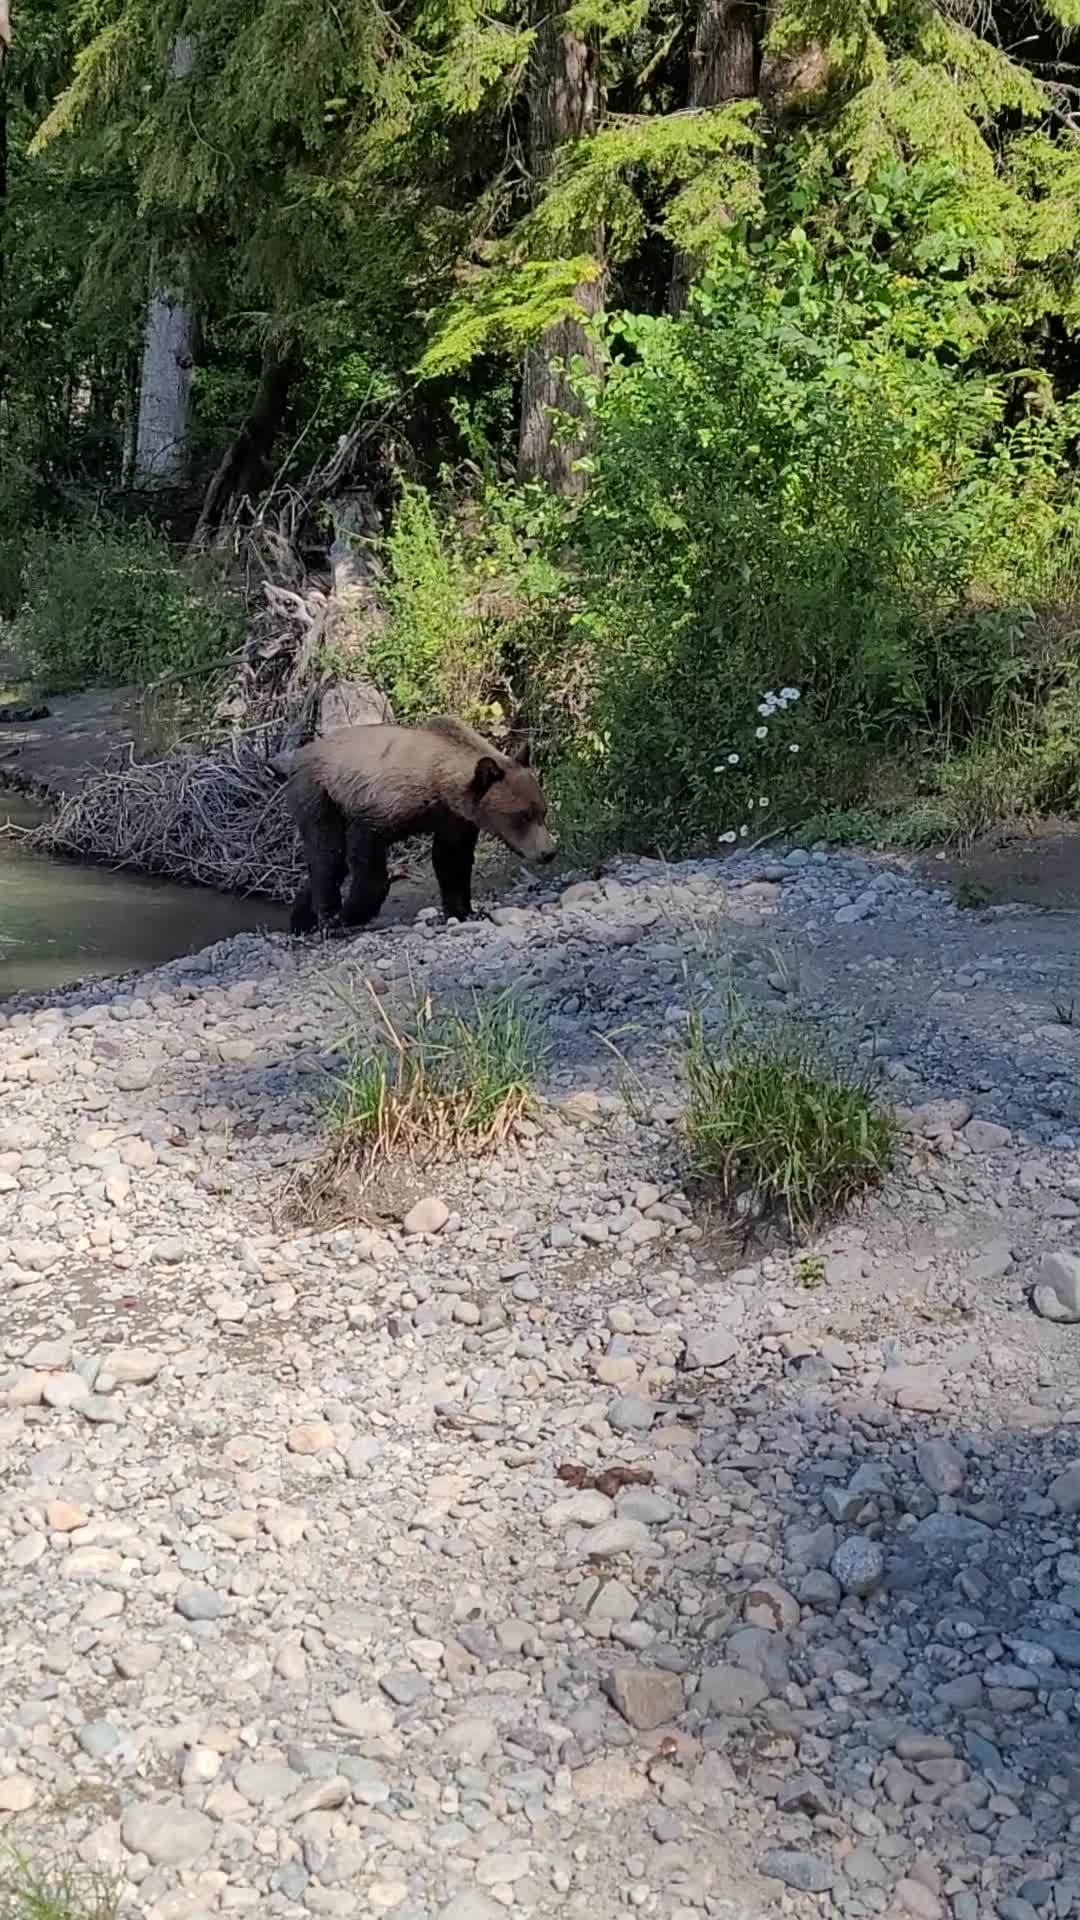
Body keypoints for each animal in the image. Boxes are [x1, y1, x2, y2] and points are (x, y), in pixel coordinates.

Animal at [271, 715, 556, 936]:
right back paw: (327, 917)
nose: (548, 852)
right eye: (521, 816)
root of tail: (298, 755)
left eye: (543, 812)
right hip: (320, 795)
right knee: (327, 852)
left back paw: (301, 919)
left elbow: (452, 861)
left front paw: (465, 911)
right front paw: (349, 914)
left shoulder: (454, 819)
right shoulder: (382, 805)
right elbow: (366, 855)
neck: (439, 784)